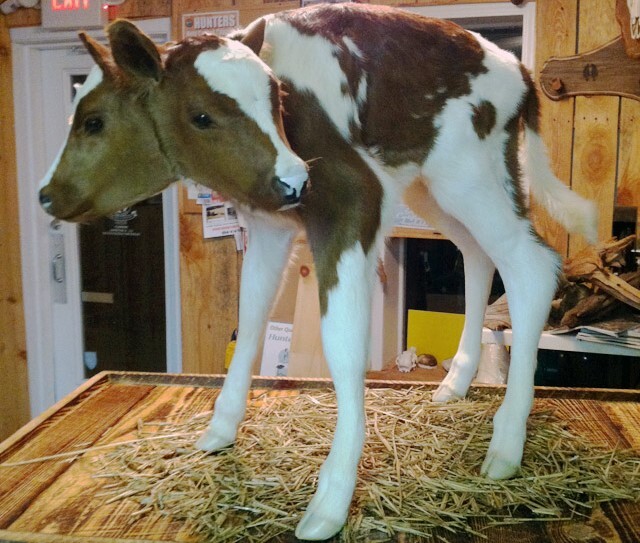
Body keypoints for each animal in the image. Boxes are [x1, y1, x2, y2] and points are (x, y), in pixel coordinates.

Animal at [38, 4, 597, 539]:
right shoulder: (267, 224)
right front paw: (221, 429)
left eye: (92, 121)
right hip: (432, 187)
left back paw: (506, 445)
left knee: (531, 264)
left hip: (470, 175)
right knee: (477, 253)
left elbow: (343, 343)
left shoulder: (353, 201)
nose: (44, 194)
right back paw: (455, 384)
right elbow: (251, 315)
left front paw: (332, 498)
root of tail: (517, 68)